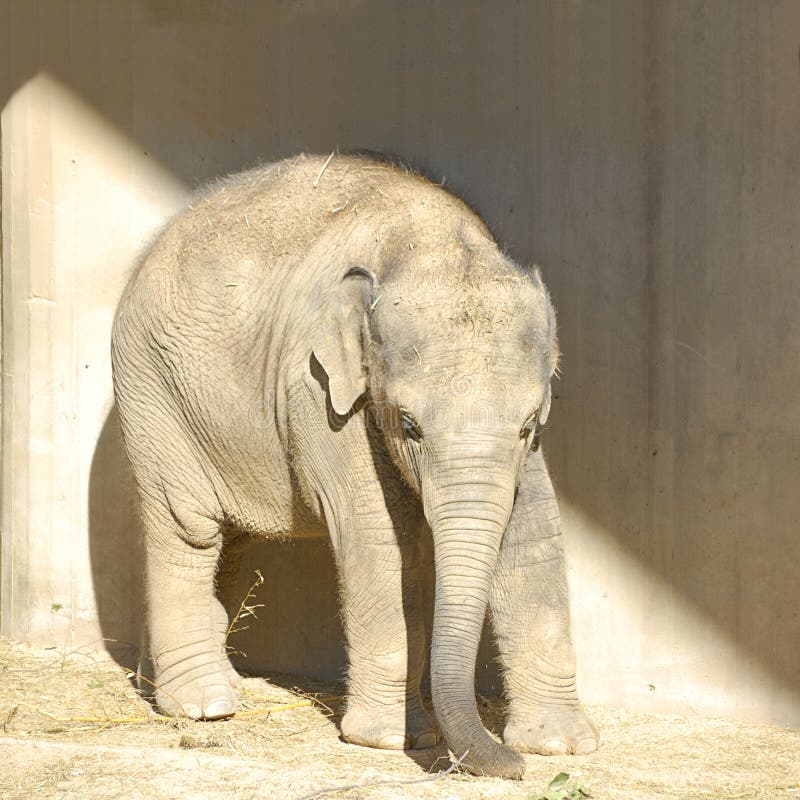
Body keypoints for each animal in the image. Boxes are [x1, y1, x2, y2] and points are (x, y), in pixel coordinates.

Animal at [111, 152, 597, 779]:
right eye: (409, 424)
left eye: (528, 425)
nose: (512, 766)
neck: (430, 244)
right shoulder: (318, 388)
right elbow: (378, 533)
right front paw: (394, 740)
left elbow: (534, 530)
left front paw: (562, 746)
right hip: (150, 388)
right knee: (189, 528)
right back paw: (204, 706)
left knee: (229, 541)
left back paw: (162, 685)